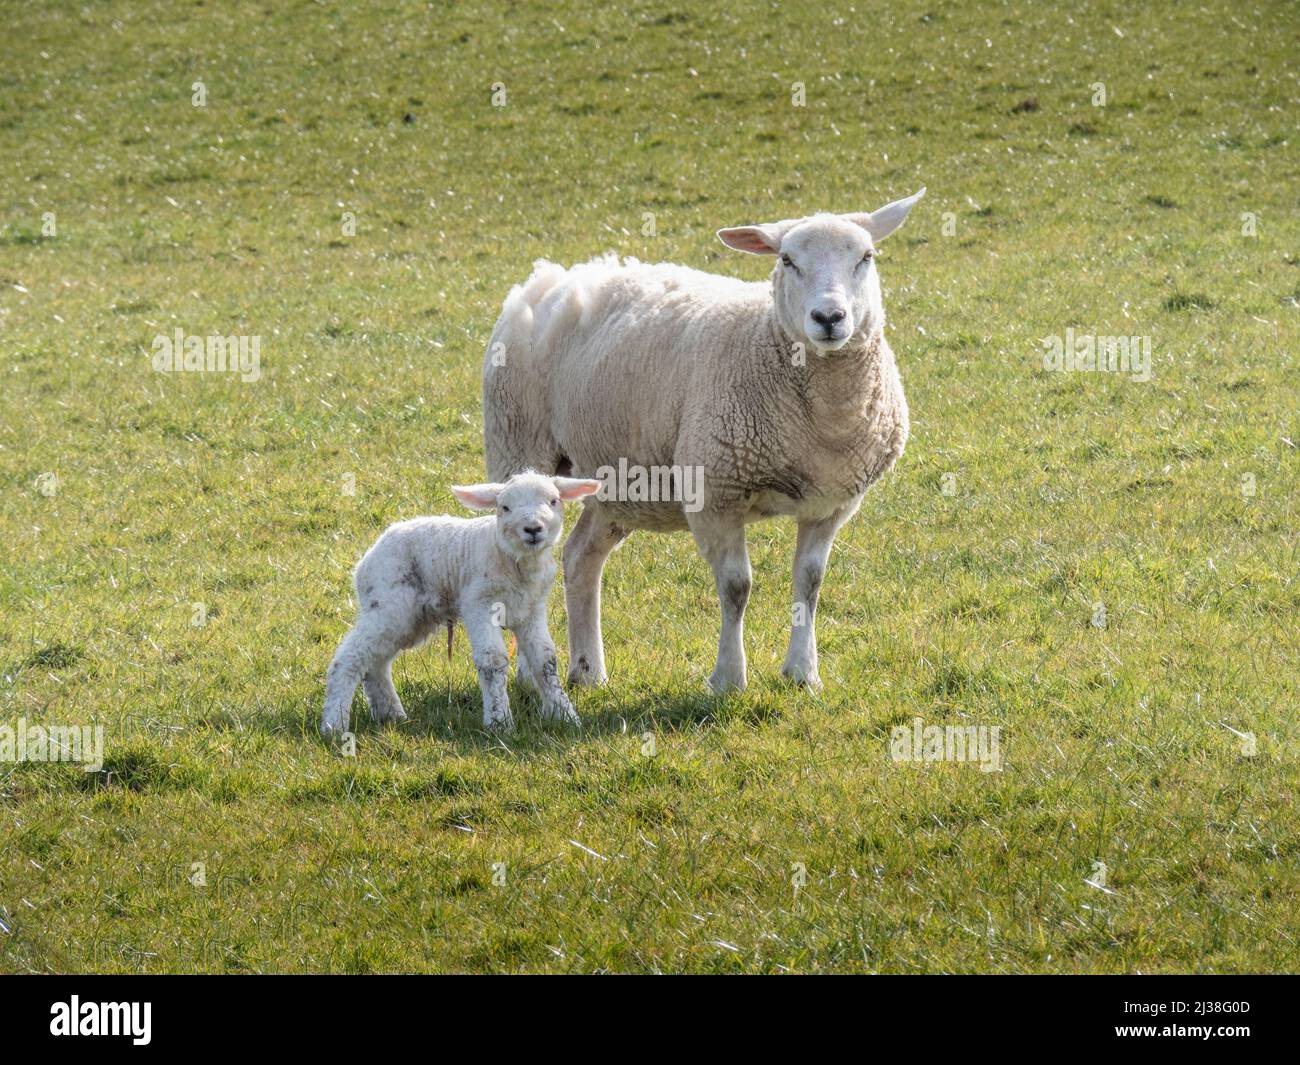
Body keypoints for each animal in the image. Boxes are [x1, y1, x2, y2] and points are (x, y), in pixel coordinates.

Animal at [320, 471, 601, 736]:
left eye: (553, 501)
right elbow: (493, 660)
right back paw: (334, 725)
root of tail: (365, 560)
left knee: (375, 662)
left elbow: (545, 661)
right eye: (505, 507)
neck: (512, 560)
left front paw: (565, 716)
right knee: (351, 657)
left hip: (410, 617)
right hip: (389, 604)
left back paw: (391, 715)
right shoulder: (479, 603)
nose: (532, 529)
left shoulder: (531, 610)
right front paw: (499, 723)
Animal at [482, 189, 924, 693]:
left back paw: (588, 670)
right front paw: (729, 678)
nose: (829, 317)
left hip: (615, 480)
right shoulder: (715, 492)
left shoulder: (829, 503)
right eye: (787, 260)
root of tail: (549, 277)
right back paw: (530, 674)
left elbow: (809, 583)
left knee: (580, 558)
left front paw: (802, 674)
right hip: (518, 444)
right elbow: (736, 588)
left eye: (865, 257)